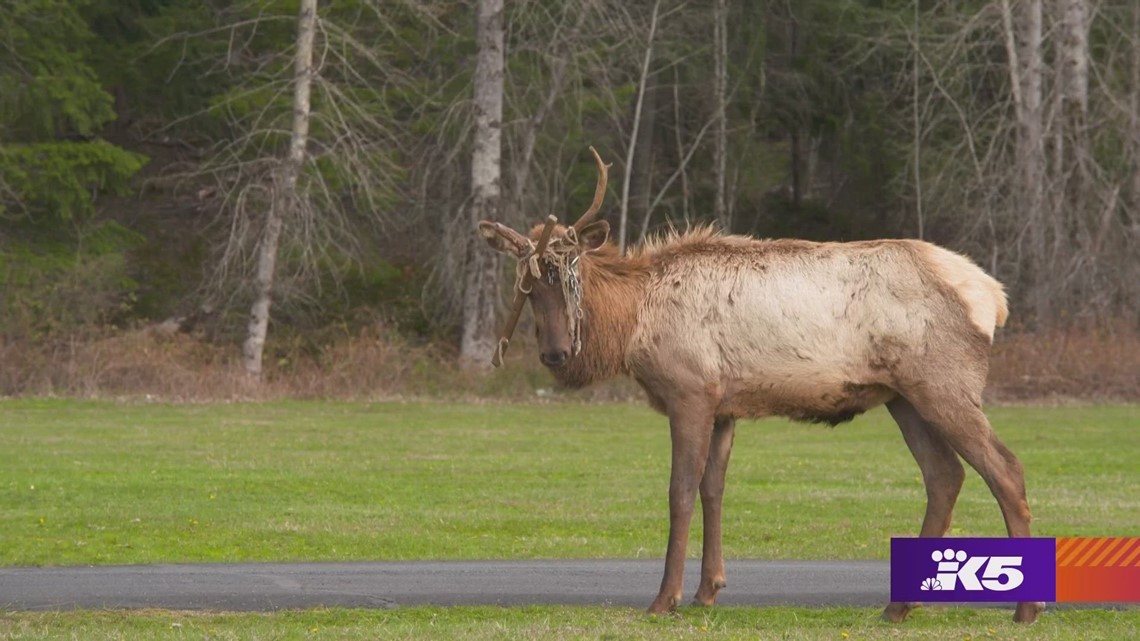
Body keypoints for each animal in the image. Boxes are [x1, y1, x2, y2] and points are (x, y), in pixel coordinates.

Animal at [477, 147, 1041, 624]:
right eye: (529, 286)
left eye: (568, 273)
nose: (556, 353)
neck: (634, 323)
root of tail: (995, 298)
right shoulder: (725, 405)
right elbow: (713, 489)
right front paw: (707, 591)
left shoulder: (690, 391)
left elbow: (679, 490)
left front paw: (664, 600)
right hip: (903, 397)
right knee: (944, 475)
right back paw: (898, 607)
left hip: (943, 384)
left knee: (1004, 468)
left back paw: (1025, 609)